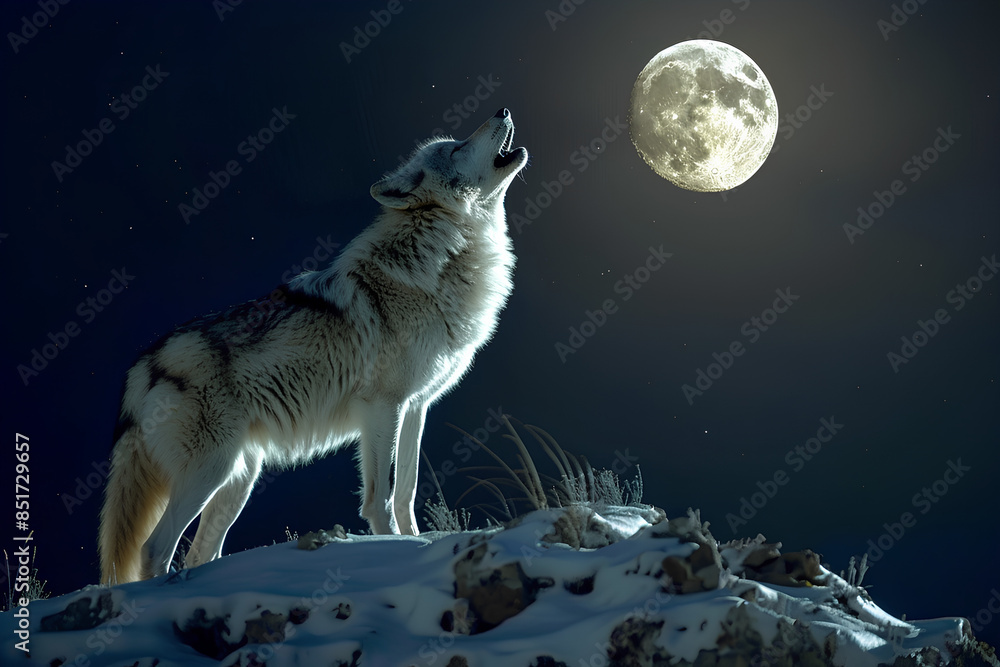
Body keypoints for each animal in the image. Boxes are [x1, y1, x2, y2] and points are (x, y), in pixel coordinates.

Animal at [98, 108, 528, 584]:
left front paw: (417, 542)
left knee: (199, 554)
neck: (440, 259)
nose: (503, 111)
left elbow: (406, 492)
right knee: (155, 550)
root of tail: (143, 365)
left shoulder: (415, 406)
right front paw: (390, 550)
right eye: (455, 149)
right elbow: (379, 498)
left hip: (238, 479)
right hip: (210, 472)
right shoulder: (382, 408)